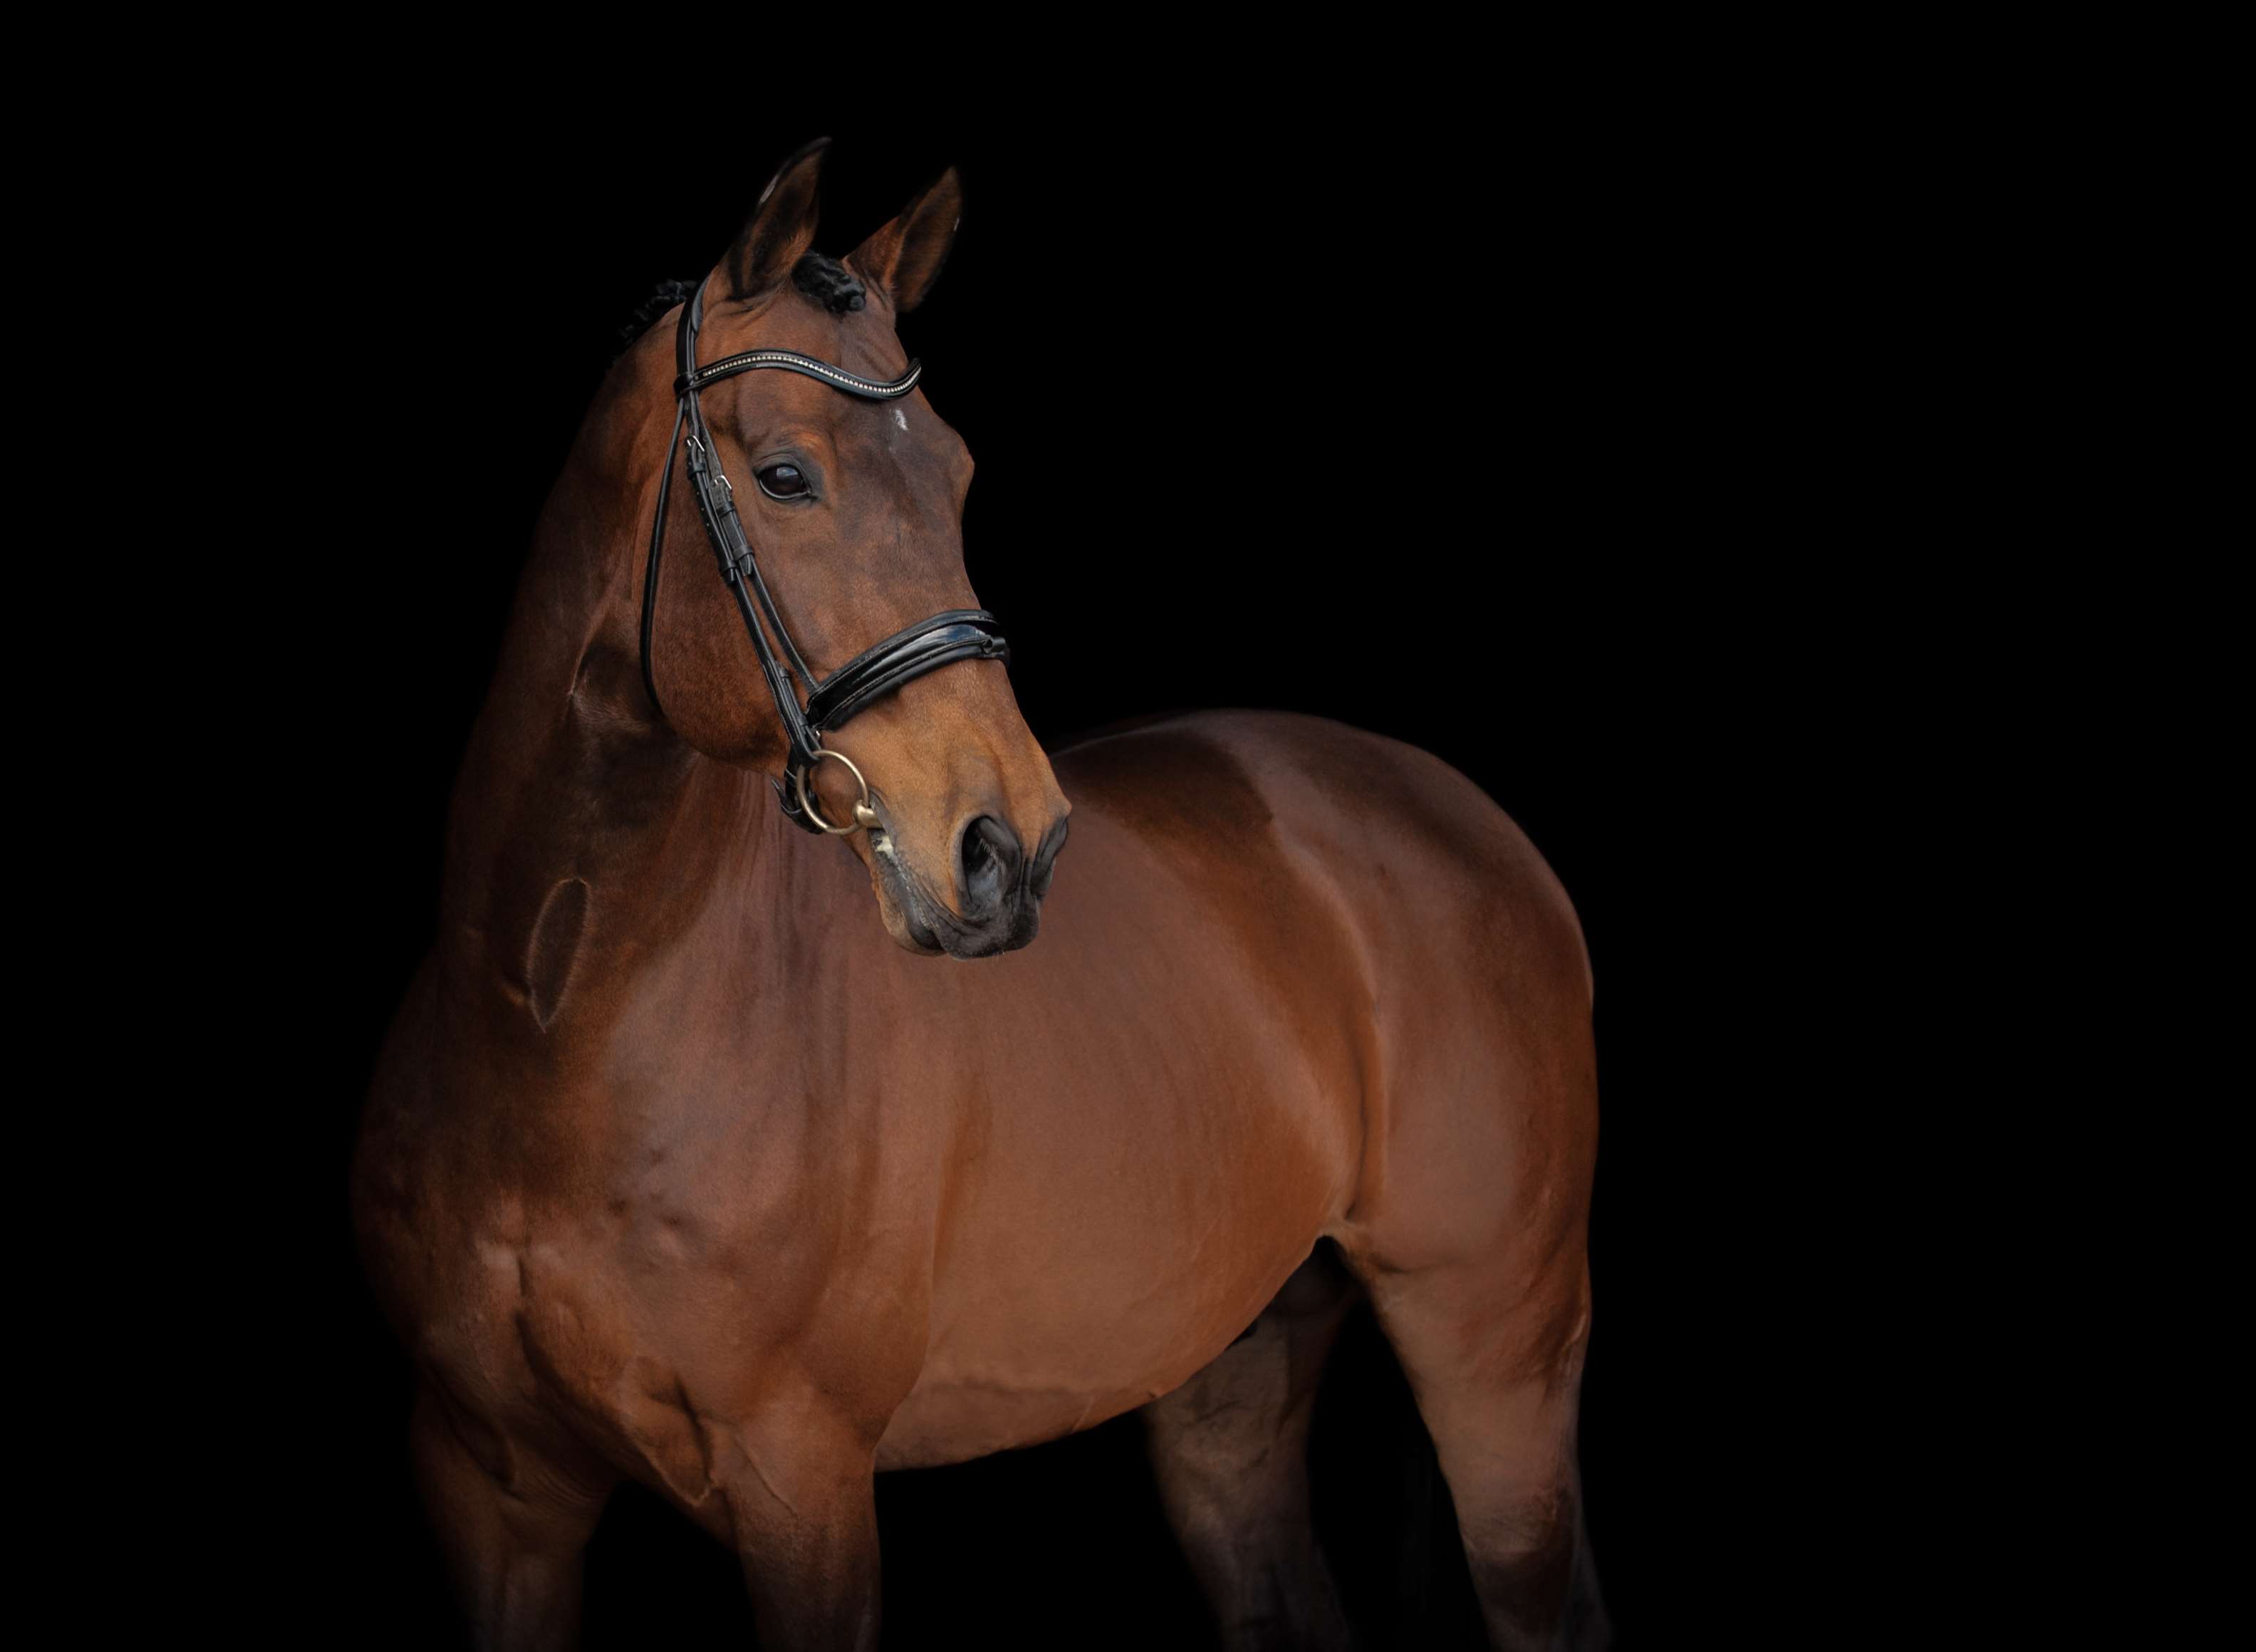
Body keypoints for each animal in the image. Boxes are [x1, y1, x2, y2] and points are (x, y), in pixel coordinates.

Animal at [352, 139, 1608, 1652]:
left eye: (954, 472)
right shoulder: (493, 1484)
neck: (559, 1023)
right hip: (1231, 1375)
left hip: (1498, 1357)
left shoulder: (802, 1485)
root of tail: (1468, 817)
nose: (1011, 845)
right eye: (785, 475)